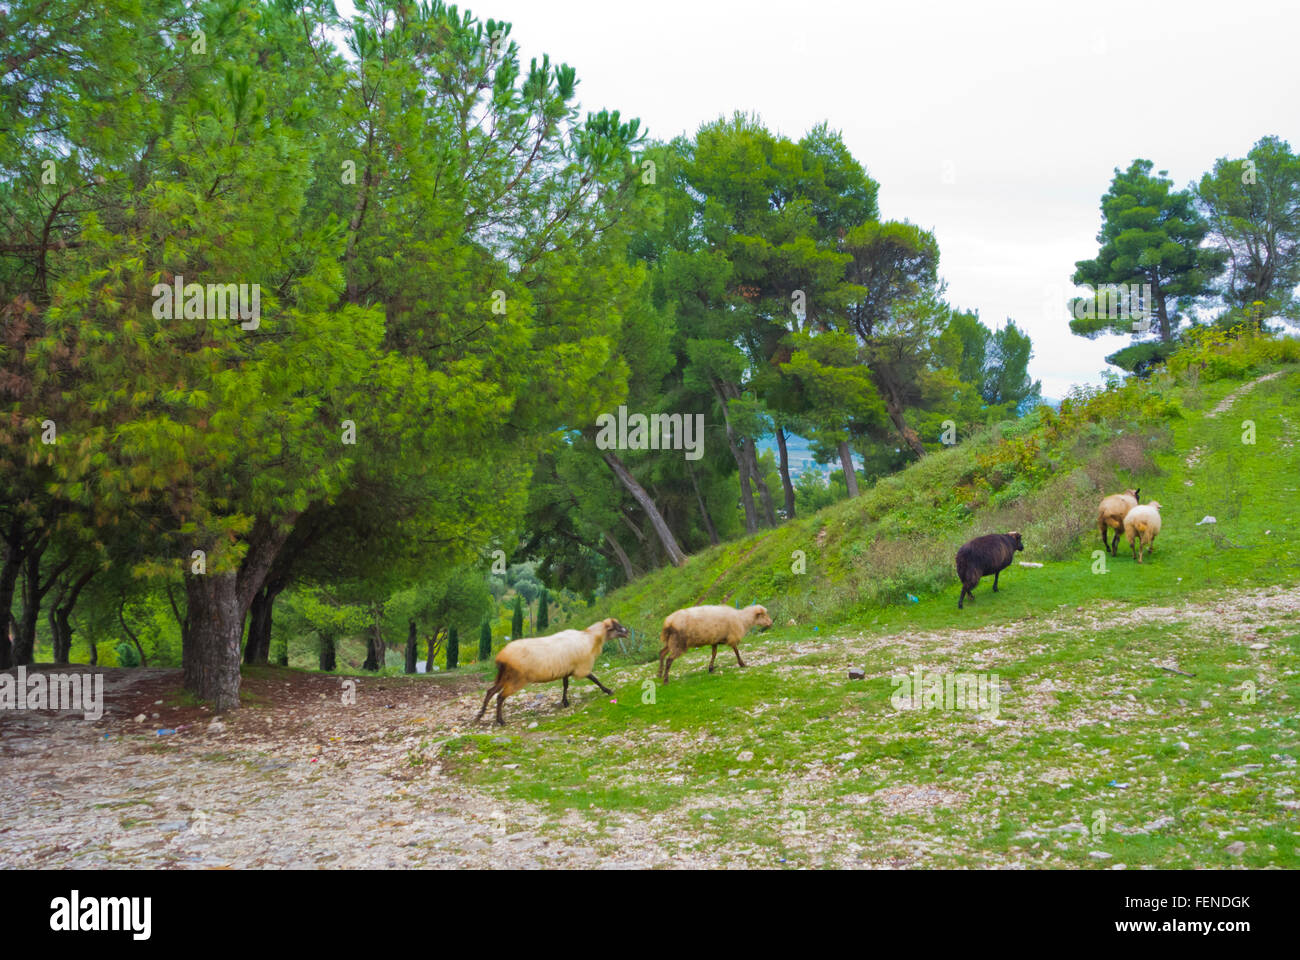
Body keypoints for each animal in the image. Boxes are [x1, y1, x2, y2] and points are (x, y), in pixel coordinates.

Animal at [475, 618, 628, 726]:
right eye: (615, 627)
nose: (627, 631)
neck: (591, 638)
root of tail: (501, 657)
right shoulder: (581, 667)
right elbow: (594, 678)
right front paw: (608, 691)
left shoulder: (567, 669)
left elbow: (565, 685)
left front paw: (565, 702)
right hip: (516, 679)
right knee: (500, 697)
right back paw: (500, 721)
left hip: (504, 676)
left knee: (490, 692)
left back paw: (480, 715)